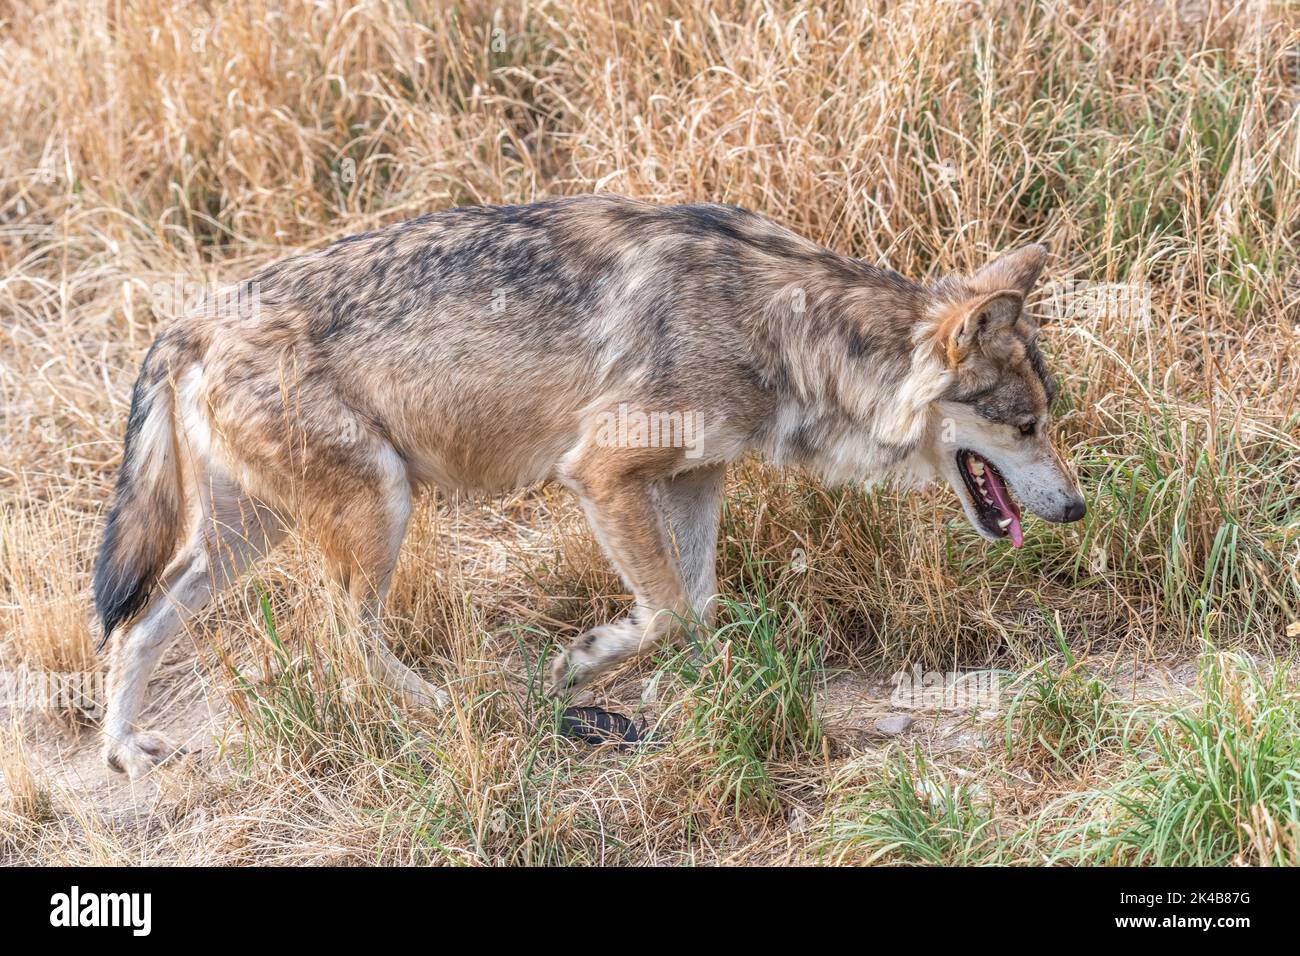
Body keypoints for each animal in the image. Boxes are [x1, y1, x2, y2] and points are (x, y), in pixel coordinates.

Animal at [92, 195, 1084, 778]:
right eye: (1025, 426)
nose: (1076, 507)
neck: (785, 332)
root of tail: (188, 321)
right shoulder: (600, 471)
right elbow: (667, 613)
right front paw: (586, 664)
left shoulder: (695, 474)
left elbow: (699, 602)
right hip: (377, 508)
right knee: (336, 639)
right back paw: (451, 713)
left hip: (244, 541)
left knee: (139, 628)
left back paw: (125, 751)